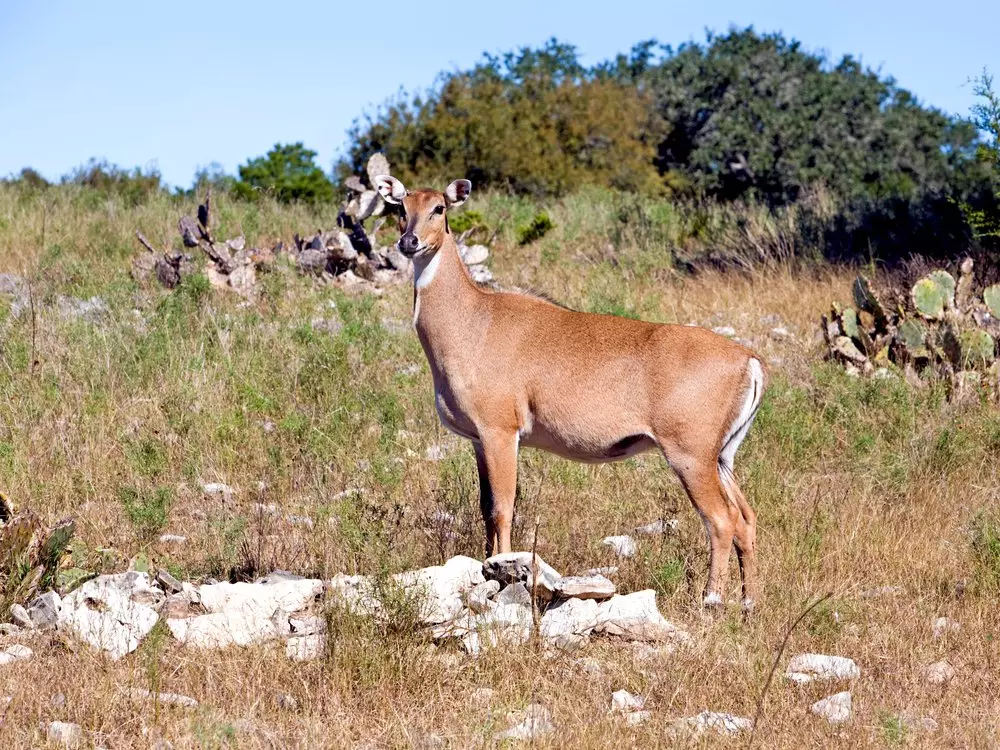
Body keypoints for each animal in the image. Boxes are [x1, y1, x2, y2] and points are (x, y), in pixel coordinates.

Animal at [376, 176, 764, 612]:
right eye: (400, 206)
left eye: (439, 208)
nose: (409, 242)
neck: (473, 321)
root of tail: (749, 361)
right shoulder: (478, 440)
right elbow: (484, 508)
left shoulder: (500, 430)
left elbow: (503, 508)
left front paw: (501, 574)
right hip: (723, 456)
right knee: (746, 517)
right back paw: (749, 603)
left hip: (690, 453)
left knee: (721, 519)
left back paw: (711, 599)